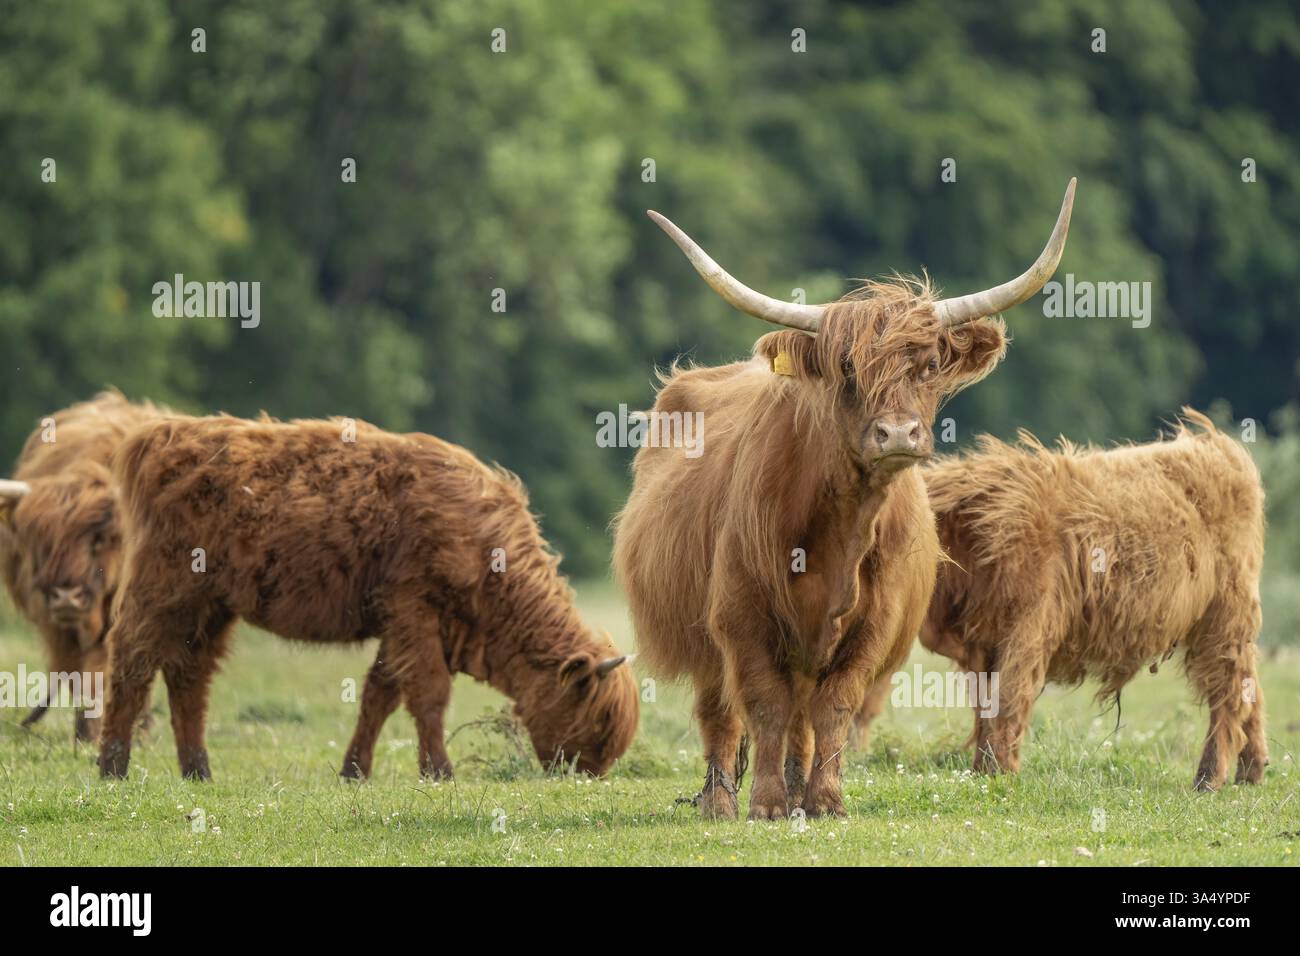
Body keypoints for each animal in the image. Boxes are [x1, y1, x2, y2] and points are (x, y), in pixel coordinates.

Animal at [0, 391, 165, 740]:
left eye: (99, 540)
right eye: (42, 540)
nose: (66, 597)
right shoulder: (55, 623)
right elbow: (80, 672)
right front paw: (87, 732)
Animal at [95, 414, 639, 781]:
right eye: (597, 720)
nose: (585, 775)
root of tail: (166, 433)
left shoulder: (408, 627)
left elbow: (380, 694)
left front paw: (354, 771)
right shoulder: (414, 610)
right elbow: (428, 694)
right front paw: (440, 771)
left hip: (211, 606)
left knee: (190, 677)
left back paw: (199, 771)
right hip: (165, 589)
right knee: (132, 663)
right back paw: (112, 767)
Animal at [613, 181, 1077, 819]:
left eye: (930, 365)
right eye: (848, 367)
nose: (898, 434)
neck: (842, 529)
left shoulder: (874, 624)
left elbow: (834, 707)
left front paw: (825, 801)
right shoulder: (740, 615)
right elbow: (763, 703)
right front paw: (766, 805)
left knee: (801, 717)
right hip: (703, 633)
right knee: (721, 713)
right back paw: (720, 803)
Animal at [852, 409, 1267, 792]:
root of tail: (1215, 444)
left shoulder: (1028, 629)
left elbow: (1009, 698)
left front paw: (1001, 771)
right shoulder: (983, 644)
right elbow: (986, 707)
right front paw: (983, 769)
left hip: (1225, 616)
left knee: (1229, 691)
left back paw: (1209, 777)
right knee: (1250, 688)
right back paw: (1252, 770)